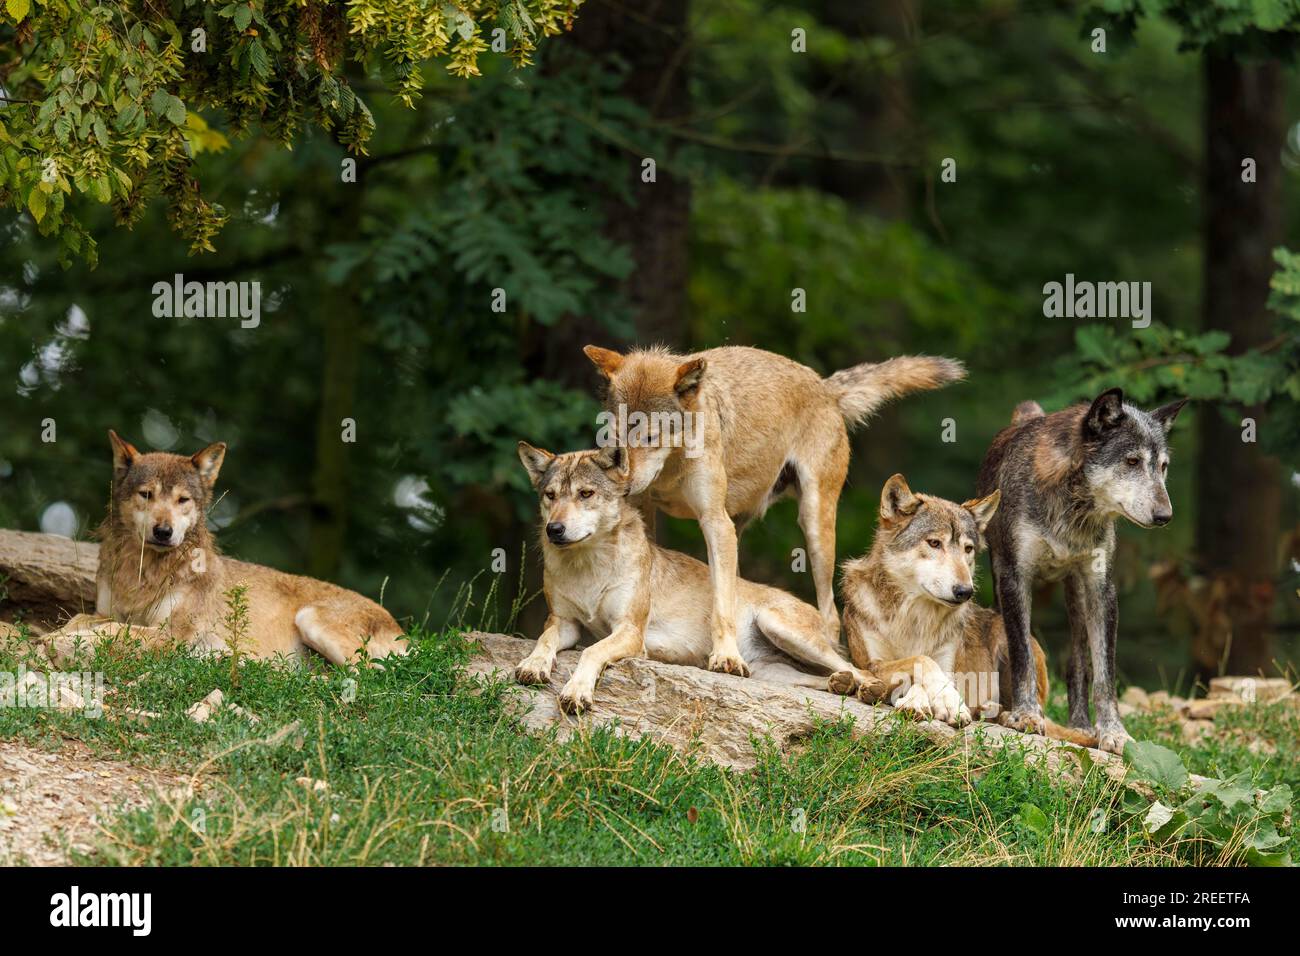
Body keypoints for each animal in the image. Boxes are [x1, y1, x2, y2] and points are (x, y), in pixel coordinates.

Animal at [45, 430, 407, 666]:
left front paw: (58, 642)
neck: (144, 572)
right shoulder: (105, 611)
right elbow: (84, 619)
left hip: (310, 620)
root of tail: (401, 629)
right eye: (146, 494)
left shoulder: (172, 635)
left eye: (182, 500)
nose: (163, 532)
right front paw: (58, 635)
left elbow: (114, 630)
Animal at [514, 442, 968, 723]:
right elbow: (545, 640)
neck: (587, 567)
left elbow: (592, 652)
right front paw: (533, 666)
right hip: (772, 671)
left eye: (586, 494)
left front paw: (576, 692)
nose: (555, 530)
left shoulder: (629, 631)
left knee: (862, 671)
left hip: (781, 627)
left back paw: (871, 690)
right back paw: (845, 687)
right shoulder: (564, 622)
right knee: (828, 680)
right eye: (550, 496)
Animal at [581, 344, 965, 678]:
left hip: (814, 529)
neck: (670, 469)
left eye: (650, 438)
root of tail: (824, 387)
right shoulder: (654, 516)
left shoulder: (715, 522)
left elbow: (722, 607)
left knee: (830, 615)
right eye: (615, 437)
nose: (623, 484)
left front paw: (726, 657)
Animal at [841, 475, 1098, 746]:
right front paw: (920, 703)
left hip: (1013, 642)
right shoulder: (871, 665)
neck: (914, 619)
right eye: (934, 543)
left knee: (1036, 715)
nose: (965, 591)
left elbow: (927, 667)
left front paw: (947, 703)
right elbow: (920, 662)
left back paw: (1005, 714)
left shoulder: (948, 668)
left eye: (968, 549)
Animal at [976, 389, 1187, 753]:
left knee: (1078, 664)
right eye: (1132, 462)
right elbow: (1022, 655)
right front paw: (1026, 714)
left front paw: (1114, 733)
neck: (1072, 510)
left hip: (1076, 596)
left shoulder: (1102, 589)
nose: (1165, 516)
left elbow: (1104, 675)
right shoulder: (1014, 579)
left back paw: (1081, 725)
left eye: (1162, 467)